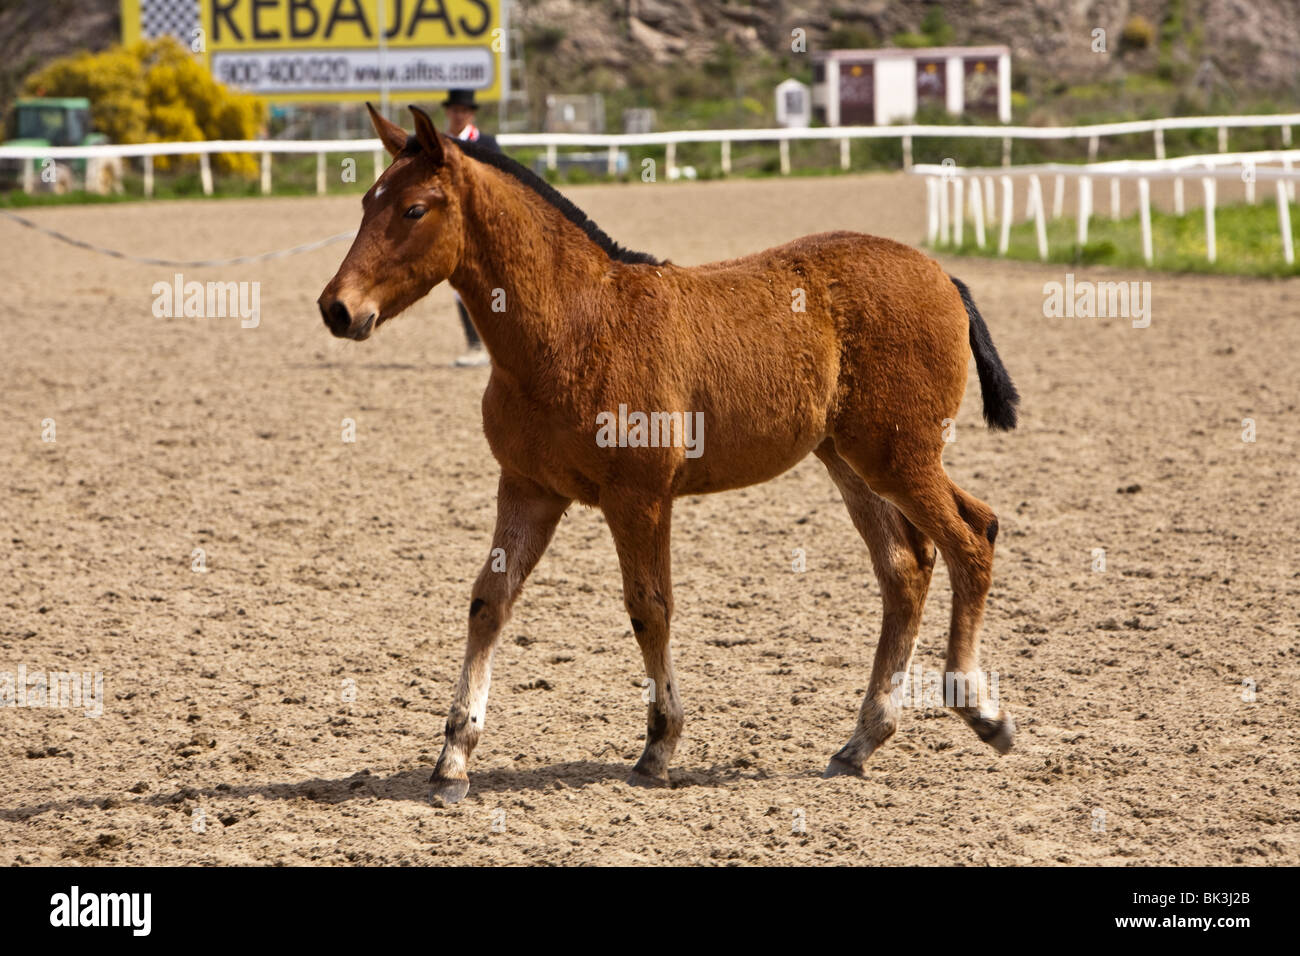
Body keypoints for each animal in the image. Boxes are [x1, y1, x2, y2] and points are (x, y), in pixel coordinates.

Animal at [318, 105, 1021, 803]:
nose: (337, 308)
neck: (574, 326)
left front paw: (658, 748)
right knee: (908, 566)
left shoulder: (640, 497)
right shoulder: (527, 488)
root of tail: (942, 275)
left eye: (414, 209)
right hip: (852, 461)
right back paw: (861, 741)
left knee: (971, 537)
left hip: (898, 457)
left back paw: (980, 710)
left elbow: (649, 608)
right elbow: (490, 601)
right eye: (365, 200)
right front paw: (453, 760)